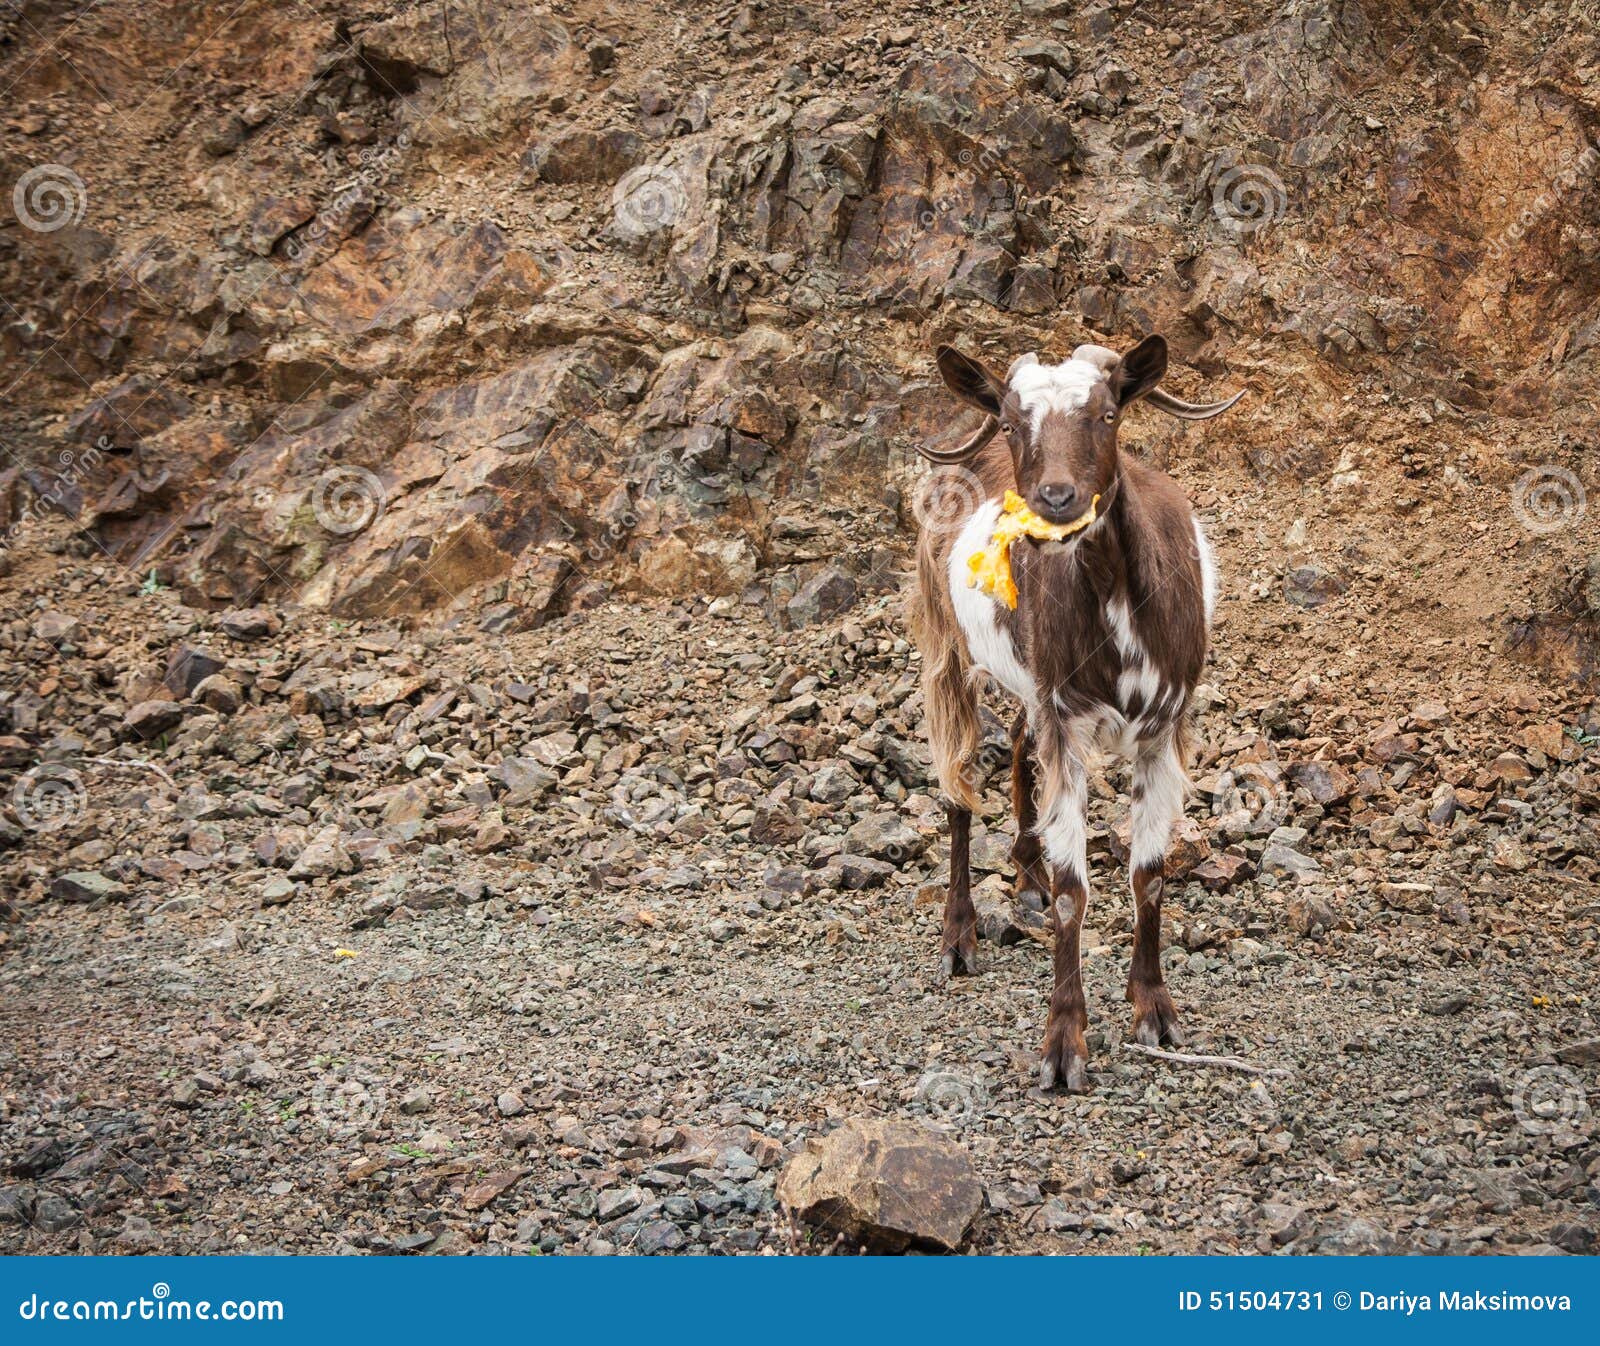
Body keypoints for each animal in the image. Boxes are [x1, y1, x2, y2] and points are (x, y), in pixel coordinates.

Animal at [908, 334, 1243, 1092]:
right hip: (946, 647)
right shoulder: (1065, 717)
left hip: (1029, 679)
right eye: (1010, 422)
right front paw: (1063, 1044)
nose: (1055, 499)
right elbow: (1074, 889)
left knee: (1019, 747)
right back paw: (959, 936)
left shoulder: (1162, 727)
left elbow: (1149, 874)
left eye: (1109, 413)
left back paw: (1025, 868)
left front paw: (1155, 1011)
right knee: (957, 788)